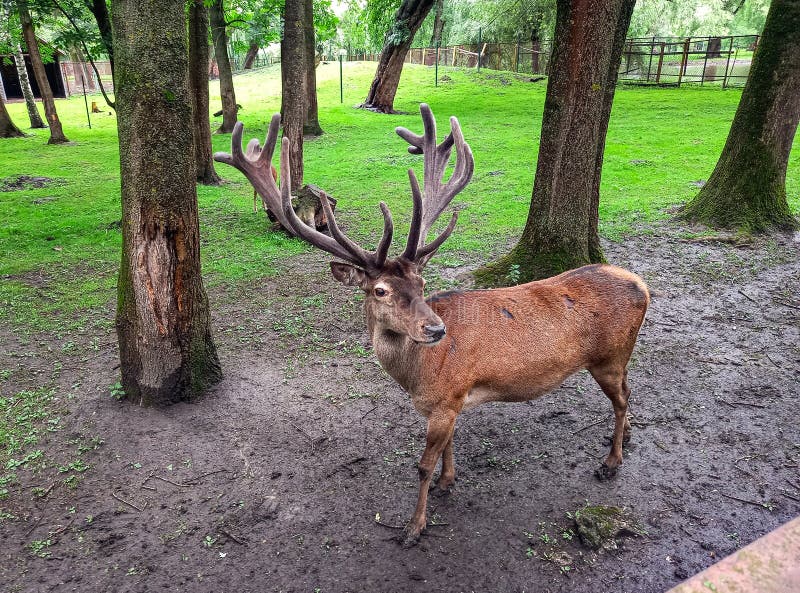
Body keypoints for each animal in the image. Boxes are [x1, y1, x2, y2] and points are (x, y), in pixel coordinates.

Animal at [214, 105, 650, 547]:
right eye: (381, 290)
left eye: (422, 283)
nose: (437, 330)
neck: (415, 378)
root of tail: (643, 285)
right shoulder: (450, 403)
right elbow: (448, 448)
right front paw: (447, 482)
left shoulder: (444, 399)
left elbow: (422, 464)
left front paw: (414, 527)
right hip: (618, 356)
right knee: (628, 392)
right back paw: (627, 438)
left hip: (608, 356)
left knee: (622, 399)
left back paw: (611, 461)